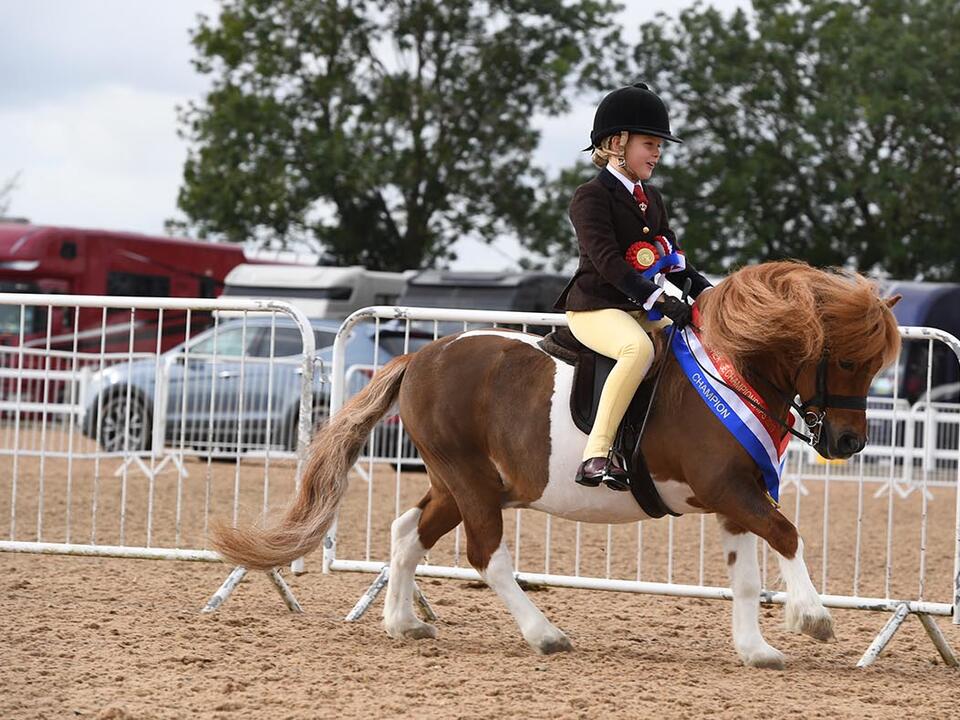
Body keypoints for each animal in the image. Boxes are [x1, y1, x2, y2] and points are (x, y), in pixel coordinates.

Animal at [211, 261, 901, 668]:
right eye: (845, 361)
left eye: (874, 366)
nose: (848, 444)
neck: (730, 373)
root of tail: (421, 356)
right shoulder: (729, 488)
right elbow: (787, 534)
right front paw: (812, 619)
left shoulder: (735, 497)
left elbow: (748, 574)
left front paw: (756, 648)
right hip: (470, 482)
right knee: (486, 556)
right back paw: (544, 635)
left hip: (461, 483)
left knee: (408, 533)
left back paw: (403, 624)